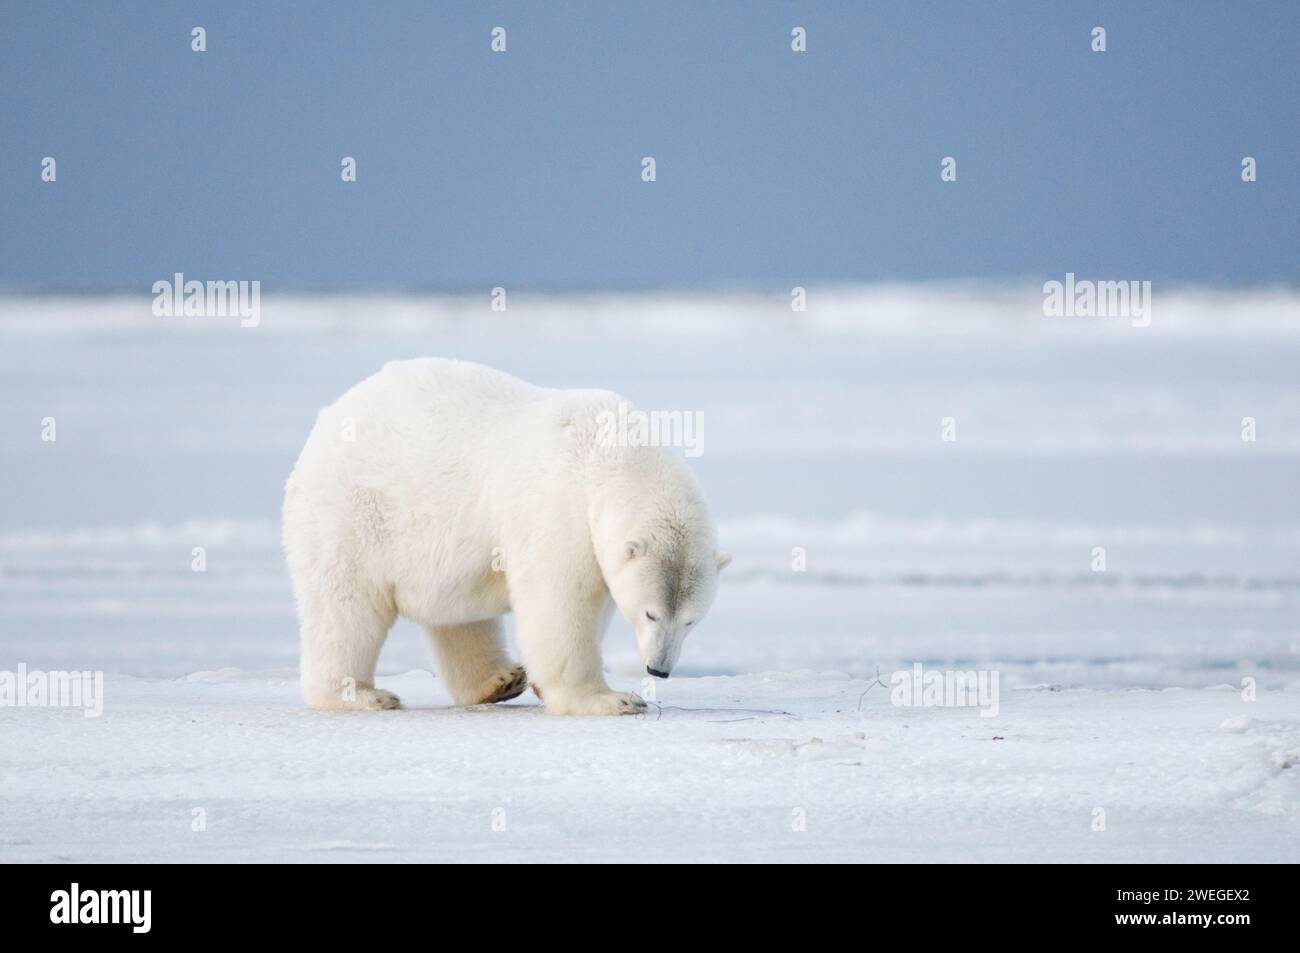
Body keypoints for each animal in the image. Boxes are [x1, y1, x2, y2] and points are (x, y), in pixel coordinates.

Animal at [282, 358, 729, 715]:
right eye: (651, 613)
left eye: (691, 620)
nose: (659, 668)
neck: (608, 452)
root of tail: (327, 420)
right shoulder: (557, 507)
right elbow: (559, 602)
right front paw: (612, 699)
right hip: (350, 512)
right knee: (344, 607)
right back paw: (360, 695)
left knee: (453, 610)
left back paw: (498, 681)